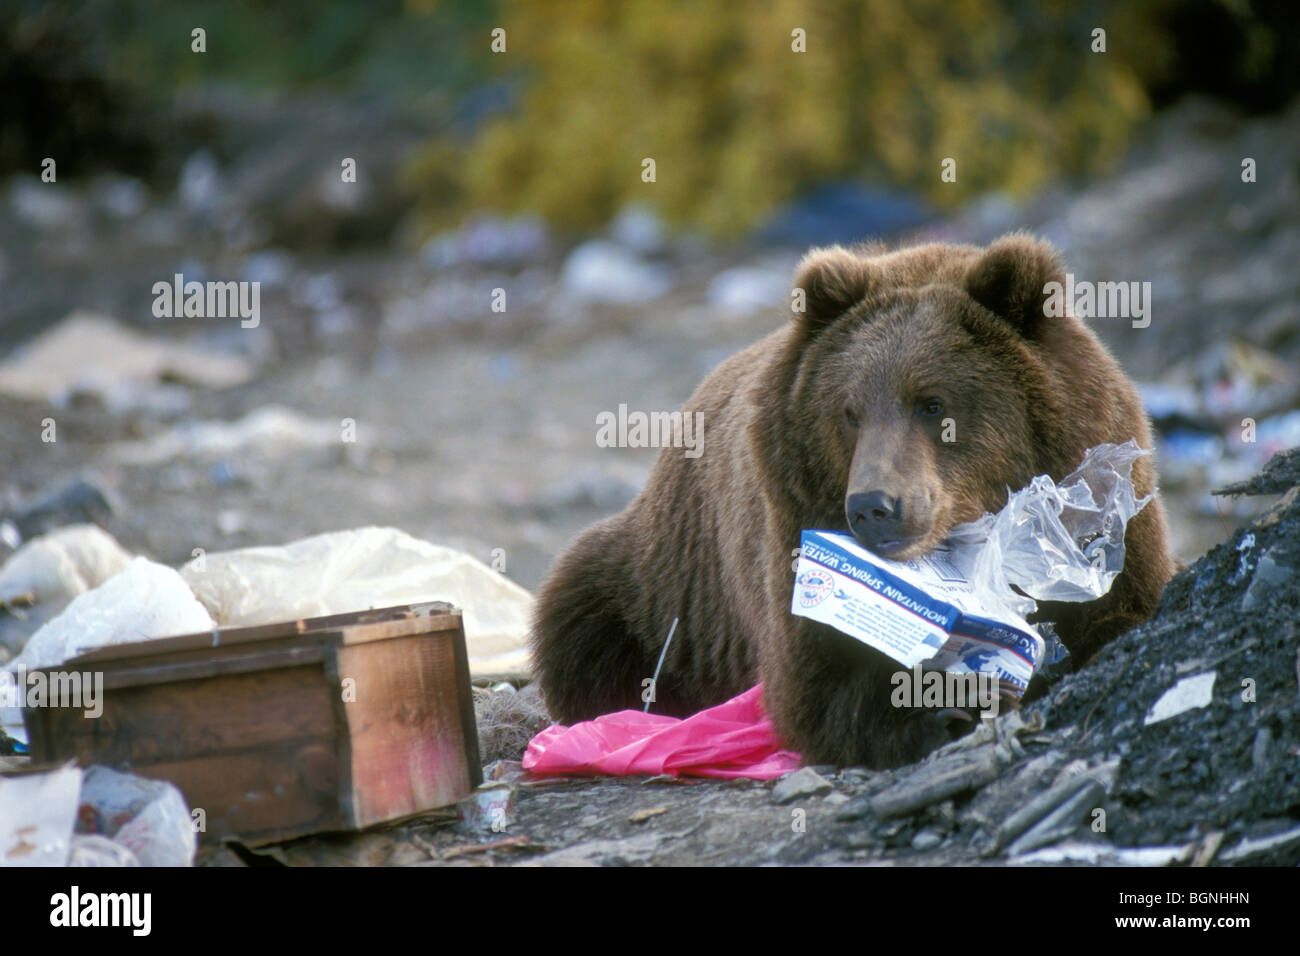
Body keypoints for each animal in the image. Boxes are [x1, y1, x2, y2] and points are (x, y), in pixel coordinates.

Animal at [530, 233, 1176, 769]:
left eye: (932, 403)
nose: (873, 506)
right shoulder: (792, 520)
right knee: (580, 620)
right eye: (849, 411)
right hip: (663, 581)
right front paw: (948, 705)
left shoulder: (1100, 500)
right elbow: (822, 681)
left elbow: (1123, 606)